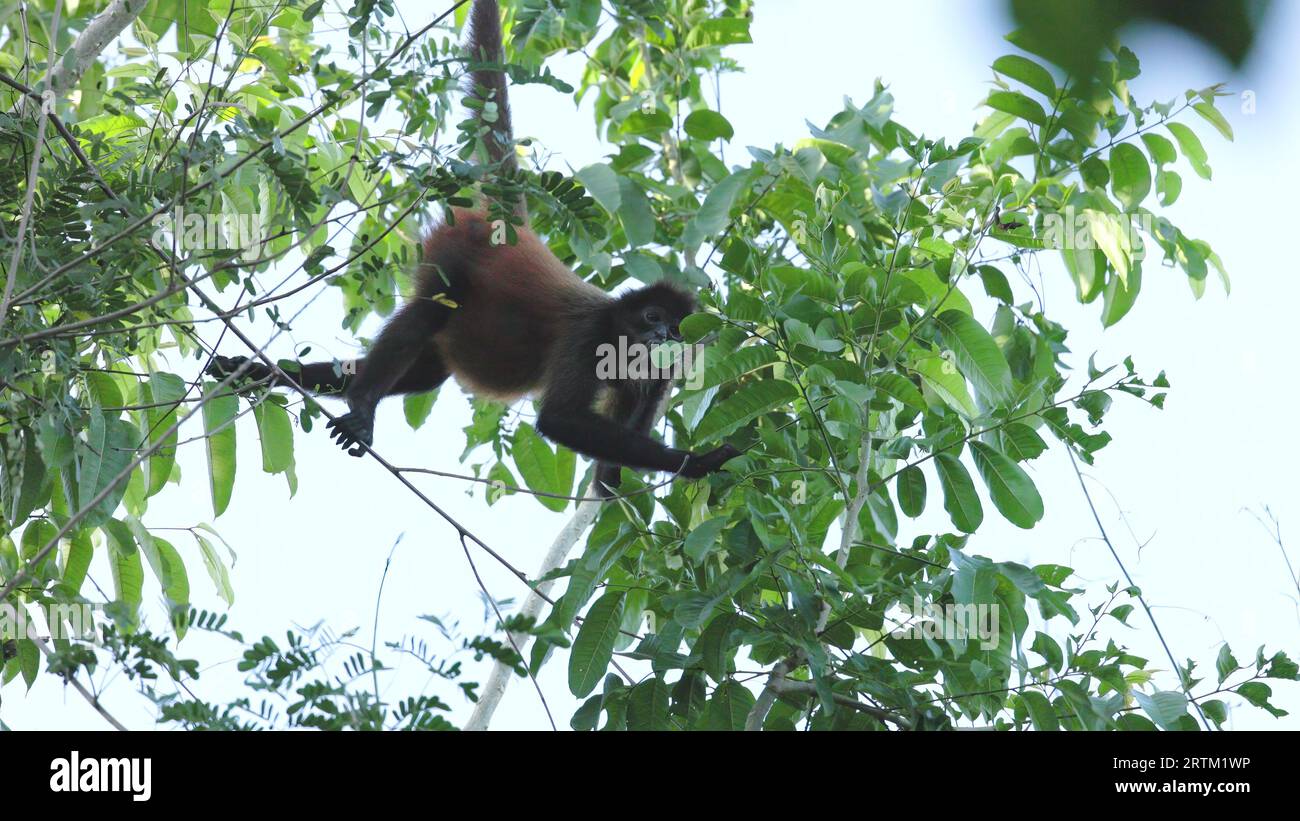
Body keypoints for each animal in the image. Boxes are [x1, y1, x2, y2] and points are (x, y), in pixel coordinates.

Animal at [209, 0, 740, 496]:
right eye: (652, 317)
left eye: (675, 330)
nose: (661, 337)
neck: (618, 329)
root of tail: (512, 228)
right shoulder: (589, 335)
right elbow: (559, 420)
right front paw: (703, 461)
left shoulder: (660, 375)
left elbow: (609, 479)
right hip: (454, 252)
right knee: (429, 313)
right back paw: (360, 407)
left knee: (426, 373)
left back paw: (261, 373)